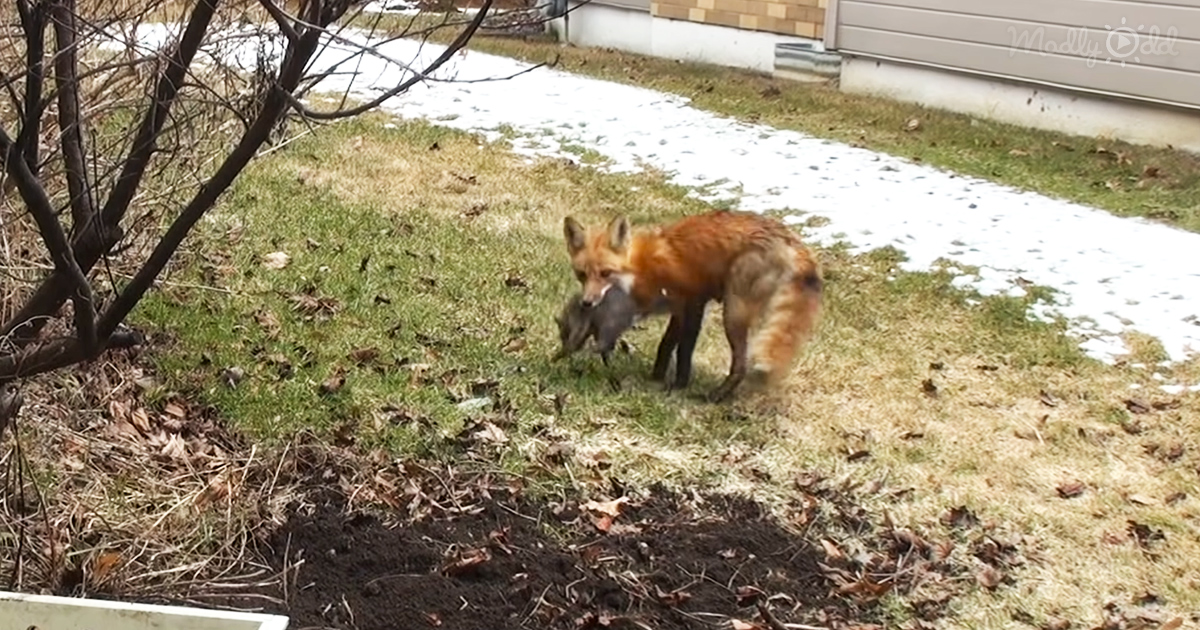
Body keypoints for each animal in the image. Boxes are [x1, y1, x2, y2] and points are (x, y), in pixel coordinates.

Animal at [562, 209, 822, 403]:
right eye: (581, 275)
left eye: (606, 273)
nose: (587, 302)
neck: (642, 269)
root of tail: (791, 240)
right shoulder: (678, 309)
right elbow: (666, 345)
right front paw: (656, 378)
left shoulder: (694, 301)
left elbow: (684, 350)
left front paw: (678, 386)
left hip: (733, 311)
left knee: (741, 365)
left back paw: (716, 397)